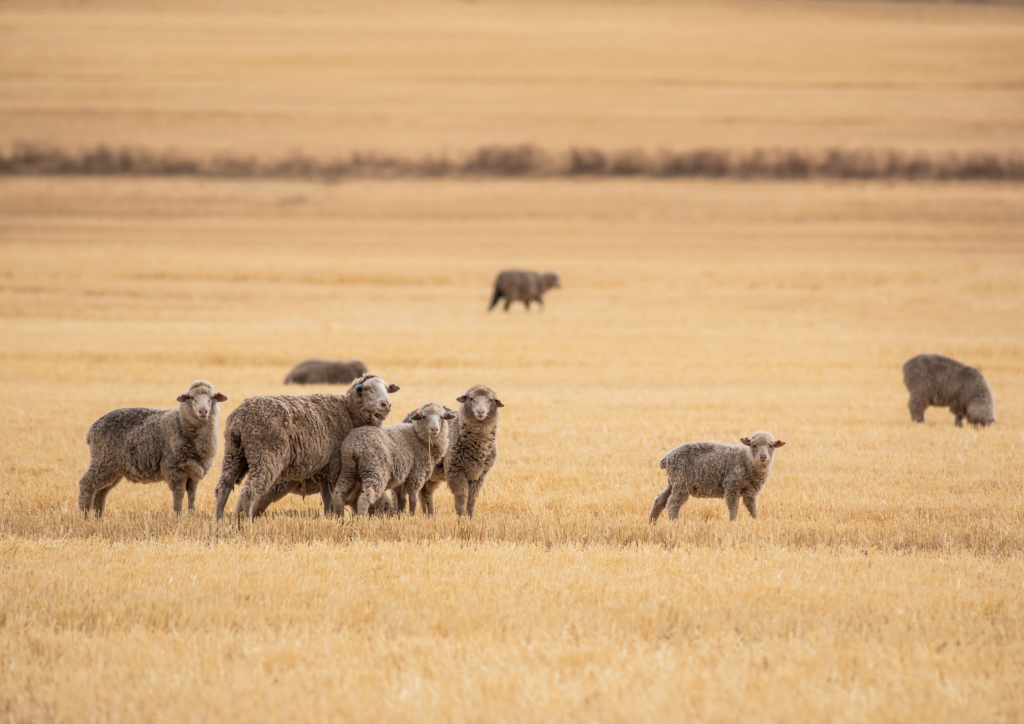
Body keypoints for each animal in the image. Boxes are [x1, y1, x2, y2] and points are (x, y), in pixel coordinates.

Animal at [76, 380, 228, 517]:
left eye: (212, 397)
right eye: (191, 398)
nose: (203, 411)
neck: (181, 422)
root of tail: (91, 431)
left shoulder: (195, 472)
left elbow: (192, 497)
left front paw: (191, 517)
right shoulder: (175, 470)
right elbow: (178, 498)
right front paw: (178, 519)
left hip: (113, 469)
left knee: (102, 491)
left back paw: (98, 518)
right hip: (103, 460)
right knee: (87, 484)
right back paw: (84, 517)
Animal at [213, 373, 399, 520]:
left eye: (387, 388)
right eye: (367, 388)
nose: (386, 405)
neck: (348, 411)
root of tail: (240, 418)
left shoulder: (324, 468)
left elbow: (326, 496)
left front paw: (328, 517)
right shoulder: (336, 466)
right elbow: (334, 494)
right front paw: (337, 517)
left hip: (234, 453)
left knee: (224, 487)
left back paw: (219, 520)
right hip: (265, 455)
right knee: (249, 491)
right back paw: (247, 522)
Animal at [443, 385, 504, 517]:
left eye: (490, 399)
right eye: (471, 398)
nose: (480, 411)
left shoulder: (480, 474)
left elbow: (472, 498)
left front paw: (471, 518)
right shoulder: (455, 471)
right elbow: (461, 499)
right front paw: (461, 518)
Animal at [650, 431, 786, 523]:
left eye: (771, 446)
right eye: (754, 445)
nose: (763, 457)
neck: (748, 460)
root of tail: (667, 458)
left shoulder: (750, 493)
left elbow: (753, 509)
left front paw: (756, 522)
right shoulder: (731, 486)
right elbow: (733, 507)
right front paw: (733, 523)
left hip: (672, 482)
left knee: (660, 500)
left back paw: (652, 523)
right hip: (681, 483)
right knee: (672, 504)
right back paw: (675, 523)